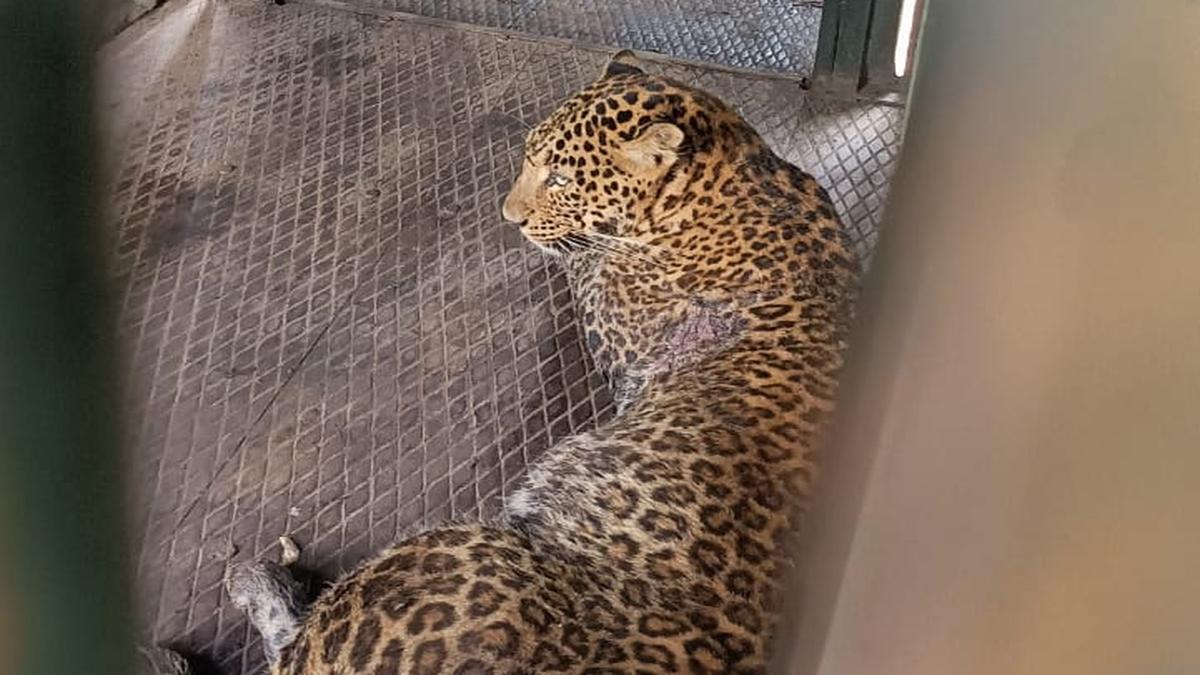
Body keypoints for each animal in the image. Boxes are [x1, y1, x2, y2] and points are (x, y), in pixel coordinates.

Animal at [222, 50, 859, 675]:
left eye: (560, 178)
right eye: (529, 159)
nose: (509, 216)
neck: (734, 171)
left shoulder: (612, 305)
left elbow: (575, 257)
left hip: (455, 563)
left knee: (296, 652)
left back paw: (256, 579)